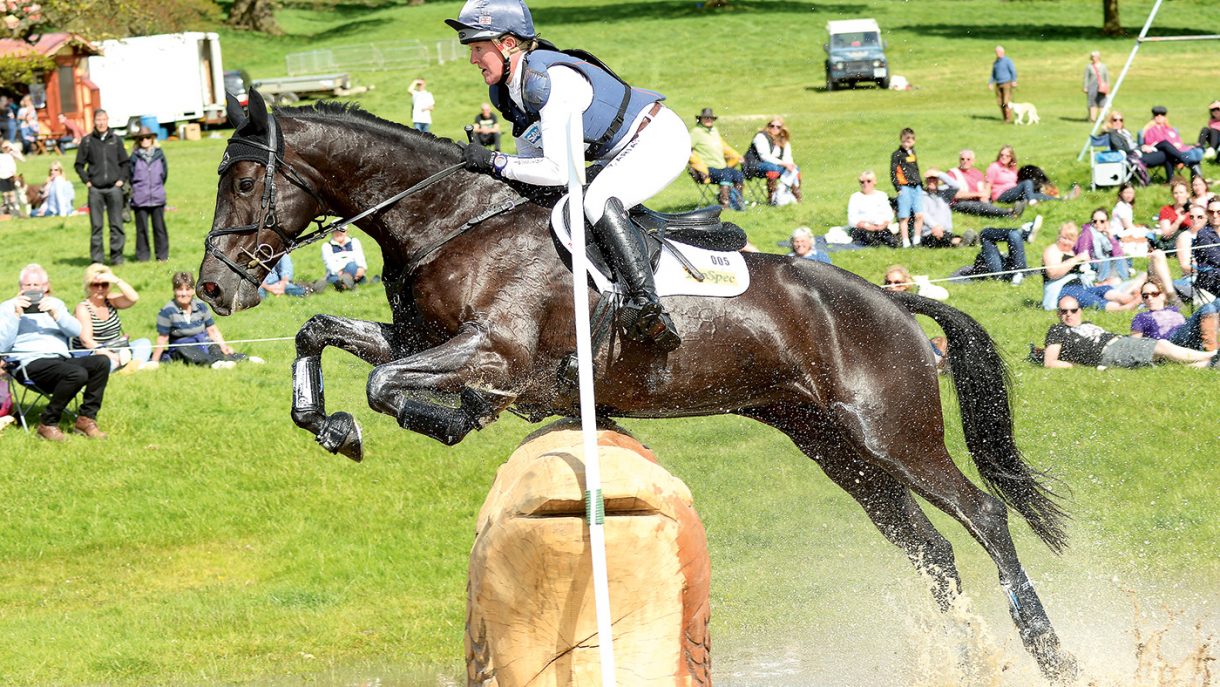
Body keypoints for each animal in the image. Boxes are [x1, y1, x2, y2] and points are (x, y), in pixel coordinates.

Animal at [198, 91, 1076, 682]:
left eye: (241, 181)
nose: (212, 287)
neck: (454, 218)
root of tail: (893, 300)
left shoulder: (494, 354)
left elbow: (388, 381)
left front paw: (439, 418)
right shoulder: (424, 338)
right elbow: (320, 333)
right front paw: (328, 422)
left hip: (889, 430)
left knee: (984, 515)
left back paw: (1046, 645)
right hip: (831, 445)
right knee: (930, 549)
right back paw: (966, 654)